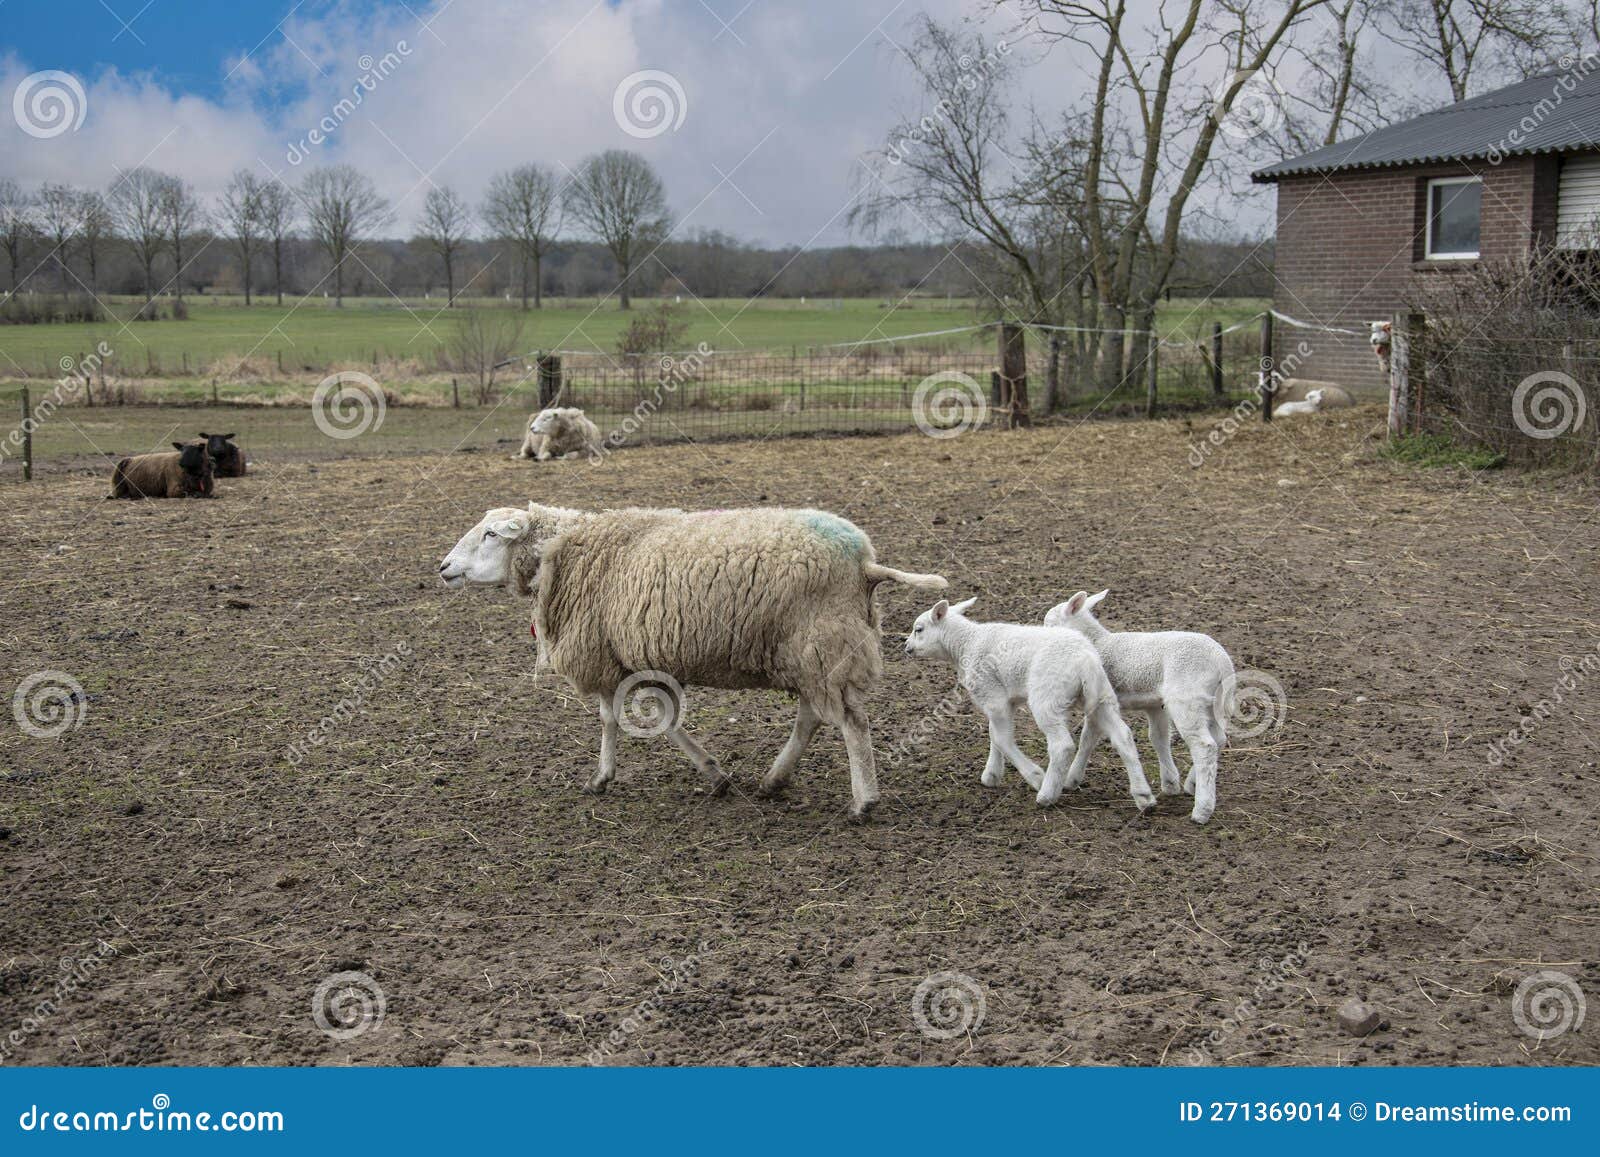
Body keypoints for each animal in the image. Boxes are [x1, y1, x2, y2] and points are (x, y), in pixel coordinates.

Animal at [439, 503, 948, 819]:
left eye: (489, 533)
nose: (443, 568)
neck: (563, 552)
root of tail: (864, 562)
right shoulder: (629, 659)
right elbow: (654, 716)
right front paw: (710, 775)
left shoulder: (603, 655)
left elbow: (622, 719)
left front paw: (606, 777)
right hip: (812, 652)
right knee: (813, 717)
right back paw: (774, 780)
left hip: (821, 644)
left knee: (850, 722)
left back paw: (863, 803)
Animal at [902, 597, 1155, 812]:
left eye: (919, 629)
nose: (906, 647)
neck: (966, 643)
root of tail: (1085, 660)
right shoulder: (1004, 698)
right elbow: (994, 734)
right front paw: (991, 775)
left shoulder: (991, 695)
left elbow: (1002, 738)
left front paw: (1034, 776)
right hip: (1102, 696)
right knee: (1123, 736)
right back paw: (1144, 796)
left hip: (1047, 697)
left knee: (1062, 745)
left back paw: (1046, 794)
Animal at [1043, 590, 1234, 824]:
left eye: (1049, 624)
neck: (1096, 642)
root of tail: (1222, 662)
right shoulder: (1155, 705)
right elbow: (1159, 738)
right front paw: (1170, 784)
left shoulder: (1097, 702)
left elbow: (1087, 739)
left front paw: (1071, 779)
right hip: (1212, 703)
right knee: (1219, 739)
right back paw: (1193, 783)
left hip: (1186, 698)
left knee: (1204, 746)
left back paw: (1202, 810)